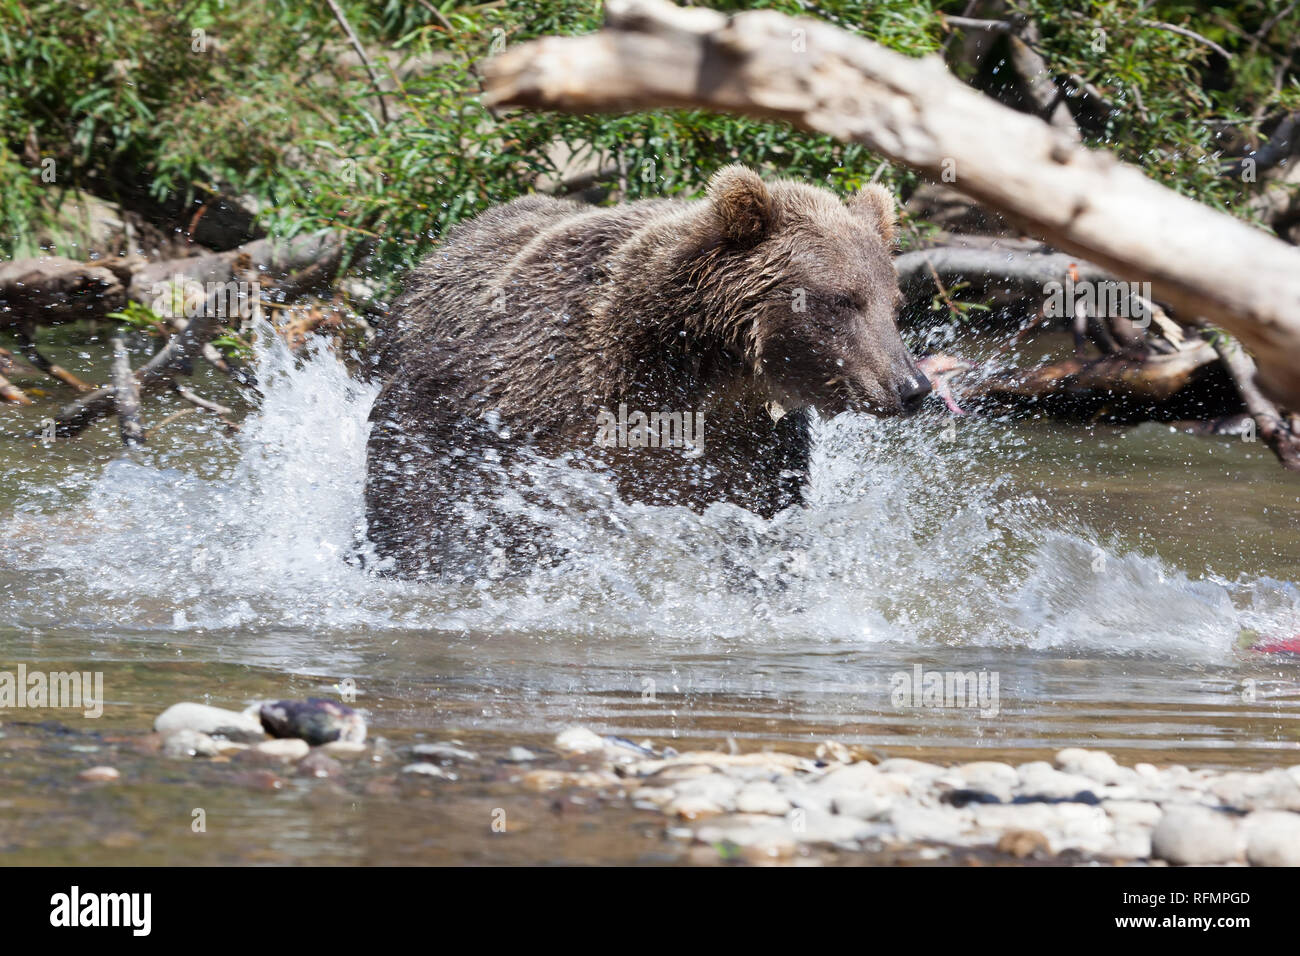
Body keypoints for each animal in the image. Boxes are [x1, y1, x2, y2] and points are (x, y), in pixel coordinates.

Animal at [364, 165, 931, 579]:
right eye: (842, 300)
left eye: (894, 305)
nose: (912, 387)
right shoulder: (521, 380)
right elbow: (423, 459)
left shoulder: (745, 448)